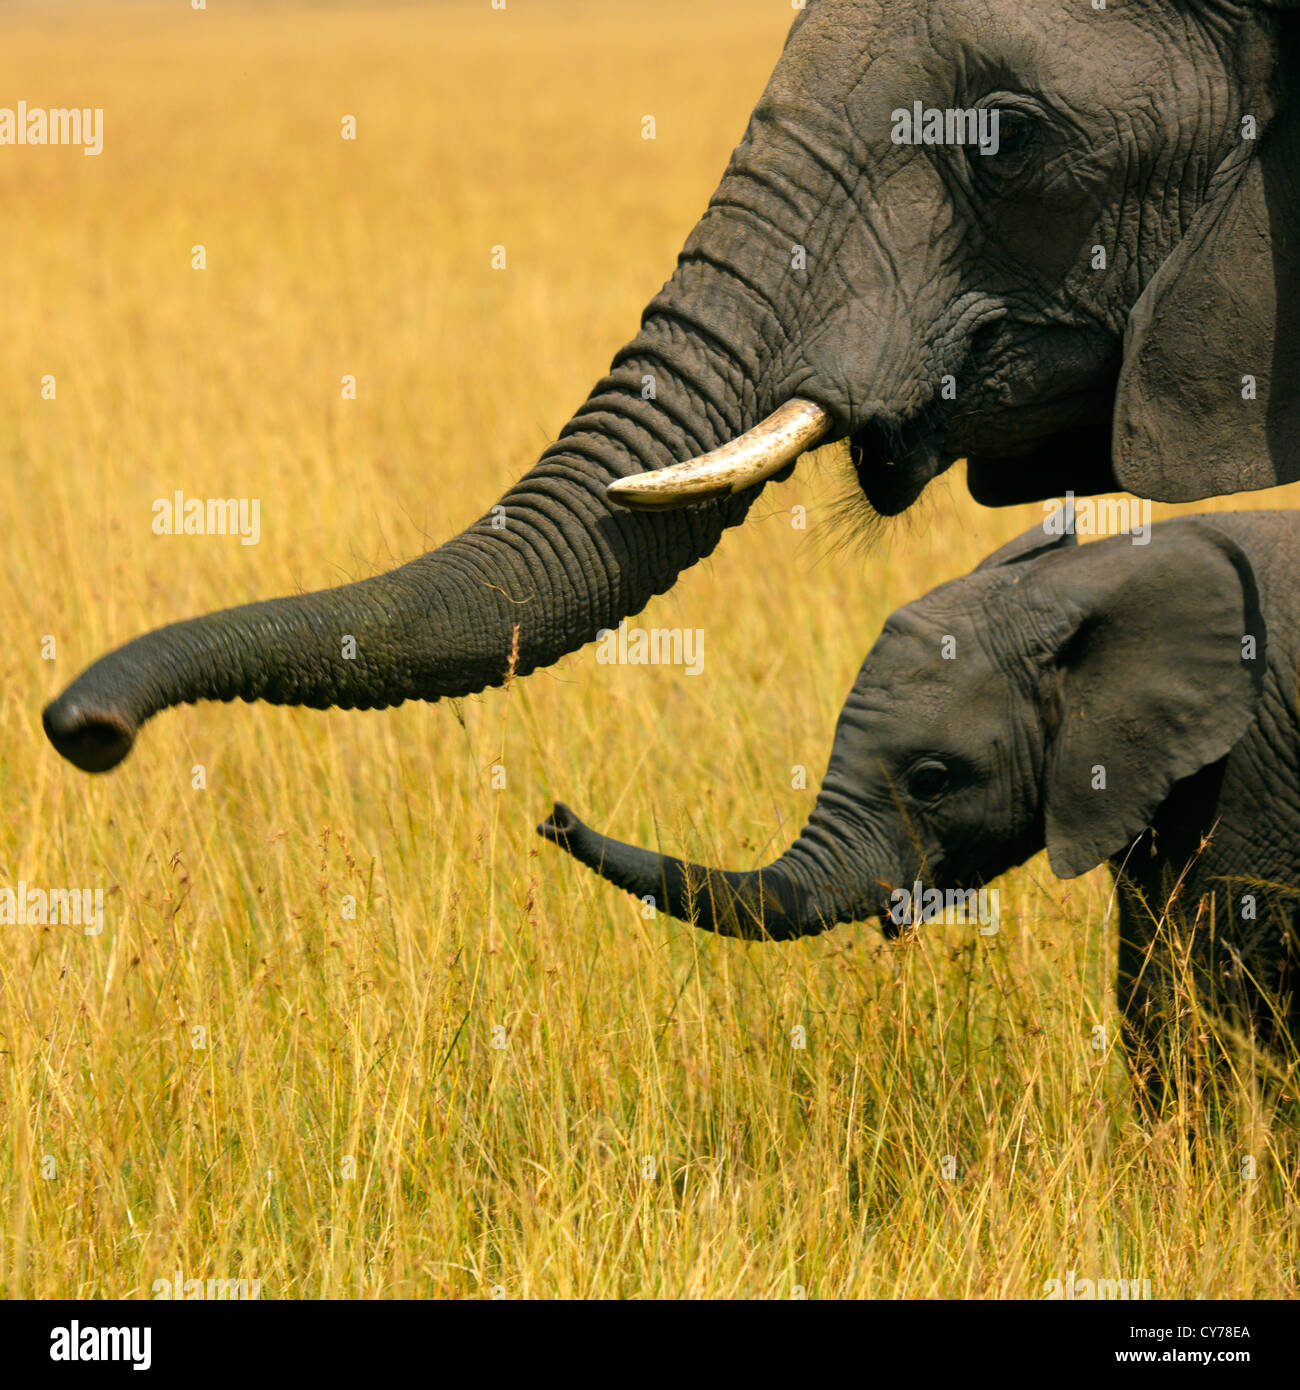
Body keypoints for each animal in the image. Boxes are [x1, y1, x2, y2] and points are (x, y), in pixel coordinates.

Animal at [539, 513, 1300, 1087]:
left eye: (931, 780)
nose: (554, 817)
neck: (1091, 574)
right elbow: (1152, 983)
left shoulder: (1246, 773)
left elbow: (1214, 991)